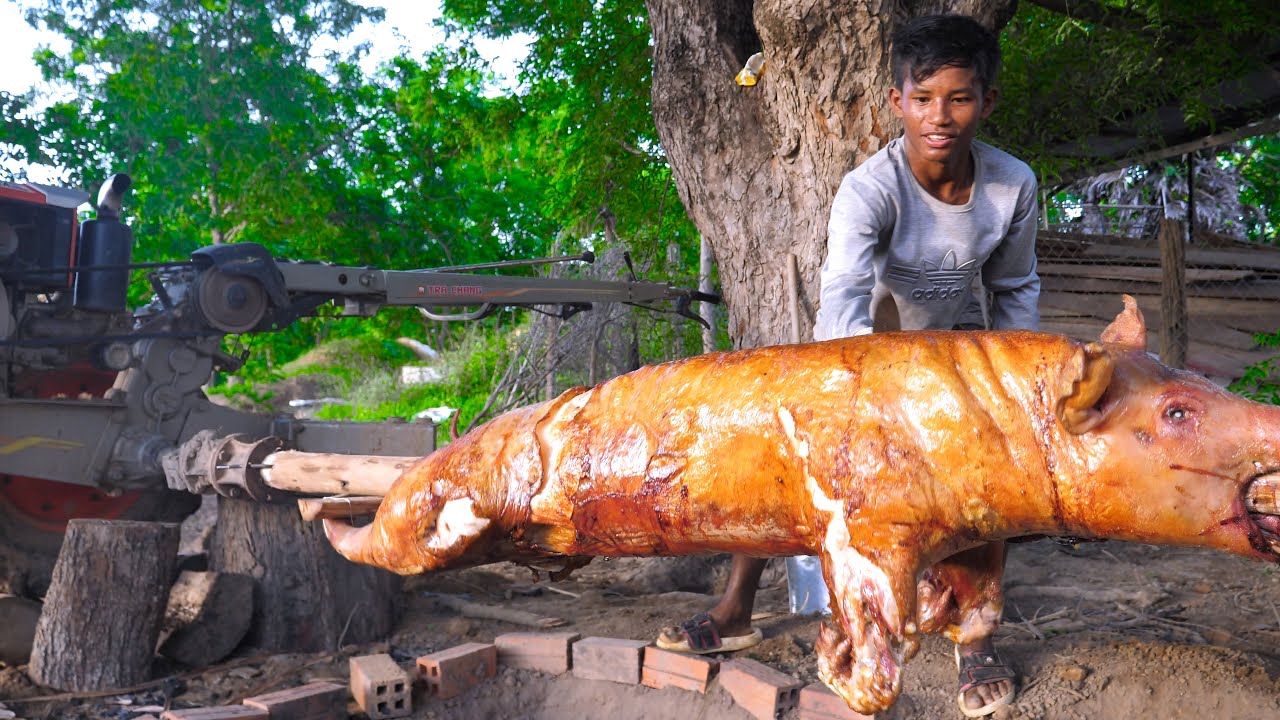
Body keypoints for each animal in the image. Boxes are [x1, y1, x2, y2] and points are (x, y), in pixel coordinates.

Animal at [322, 295, 1280, 714]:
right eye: (1177, 412)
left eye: (1186, 386)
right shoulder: (865, 529)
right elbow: (877, 644)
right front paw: (835, 664)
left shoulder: (975, 530)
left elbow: (976, 603)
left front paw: (970, 665)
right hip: (421, 513)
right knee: (384, 537)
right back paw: (324, 514)